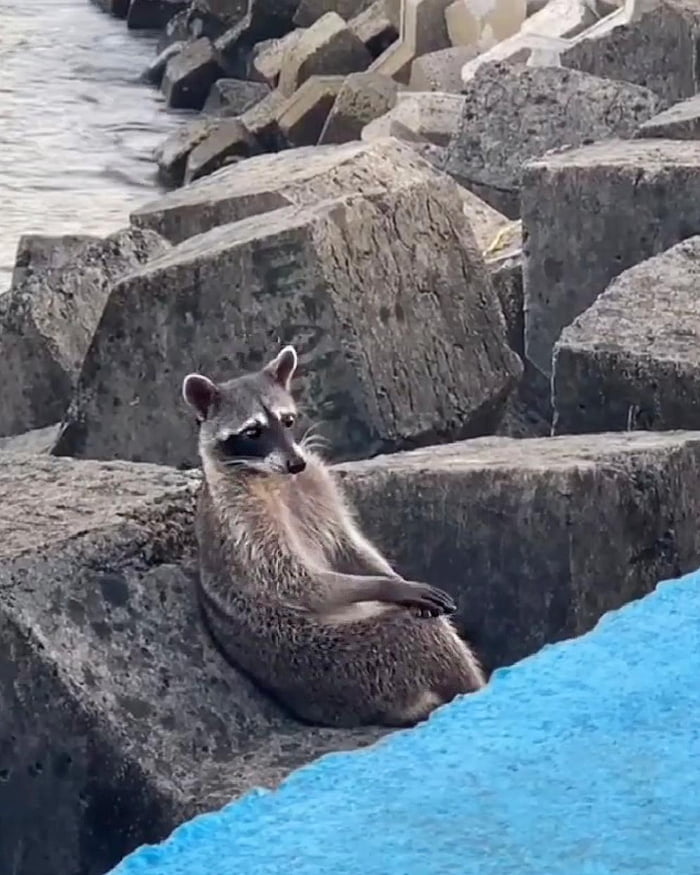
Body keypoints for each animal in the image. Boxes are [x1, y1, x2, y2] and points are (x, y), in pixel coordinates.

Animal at [183, 345, 485, 728]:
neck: (272, 476)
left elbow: (346, 544)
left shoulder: (316, 482)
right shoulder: (243, 520)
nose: (295, 464)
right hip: (353, 665)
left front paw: (391, 577)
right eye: (252, 431)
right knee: (415, 630)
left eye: (287, 421)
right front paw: (389, 587)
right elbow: (295, 580)